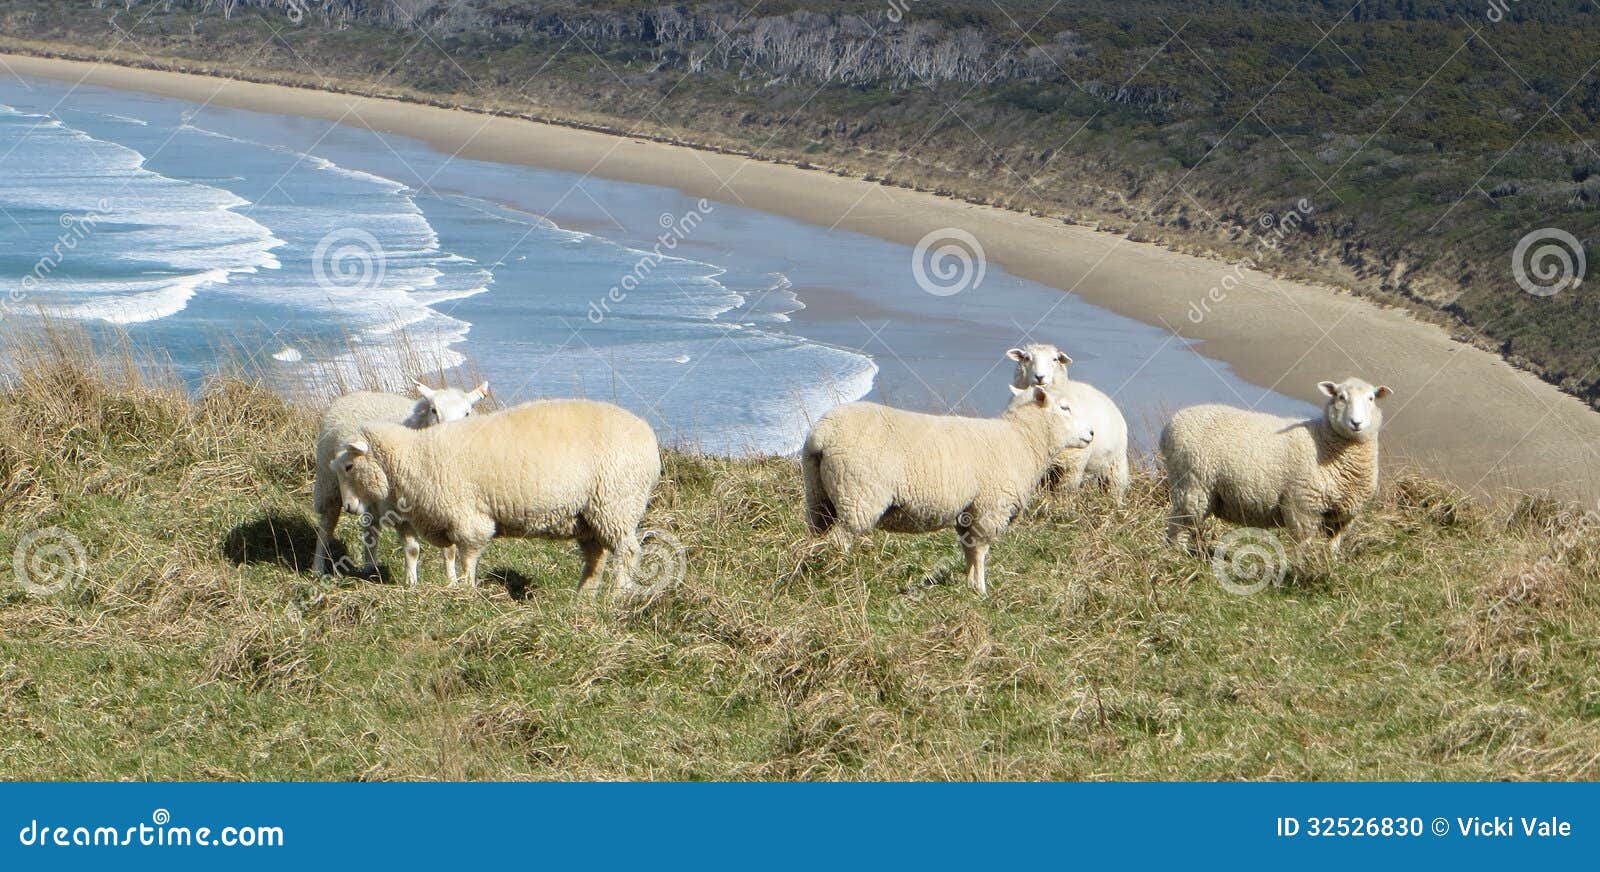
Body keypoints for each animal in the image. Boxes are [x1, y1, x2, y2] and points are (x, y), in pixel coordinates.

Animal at [310, 381, 488, 577]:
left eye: (467, 412)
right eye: (434, 410)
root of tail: (353, 395)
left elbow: (450, 550)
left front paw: (452, 581)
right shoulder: (400, 509)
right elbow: (412, 549)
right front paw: (411, 581)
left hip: (372, 492)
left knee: (372, 526)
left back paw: (371, 567)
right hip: (329, 485)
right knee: (325, 527)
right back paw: (317, 568)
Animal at [330, 399, 661, 596]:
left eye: (349, 466)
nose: (349, 507)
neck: (416, 457)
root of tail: (649, 437)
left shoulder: (469, 519)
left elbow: (468, 557)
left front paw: (467, 591)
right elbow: (445, 553)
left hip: (616, 504)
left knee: (627, 551)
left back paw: (617, 595)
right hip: (589, 516)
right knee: (596, 557)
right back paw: (583, 597)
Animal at [801, 385, 1095, 595]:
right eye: (1065, 407)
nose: (1091, 433)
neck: (1024, 438)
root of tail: (823, 434)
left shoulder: (969, 511)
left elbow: (969, 550)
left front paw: (970, 585)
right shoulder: (989, 508)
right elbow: (981, 551)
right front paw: (981, 589)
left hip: (819, 495)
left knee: (818, 535)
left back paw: (812, 570)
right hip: (859, 495)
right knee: (840, 540)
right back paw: (839, 574)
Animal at [1007, 343, 1130, 501]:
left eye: (1055, 359)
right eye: (1027, 358)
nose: (1040, 377)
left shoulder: (1073, 467)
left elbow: (1065, 493)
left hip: (1115, 464)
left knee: (1114, 489)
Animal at [1160, 377, 1394, 554]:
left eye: (1371, 398)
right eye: (1340, 397)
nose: (1356, 423)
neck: (1325, 442)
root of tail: (1169, 427)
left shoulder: (1344, 516)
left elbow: (1333, 546)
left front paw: (1331, 565)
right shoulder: (1303, 505)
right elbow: (1303, 545)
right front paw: (1302, 569)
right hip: (1192, 485)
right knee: (1178, 527)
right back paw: (1177, 557)